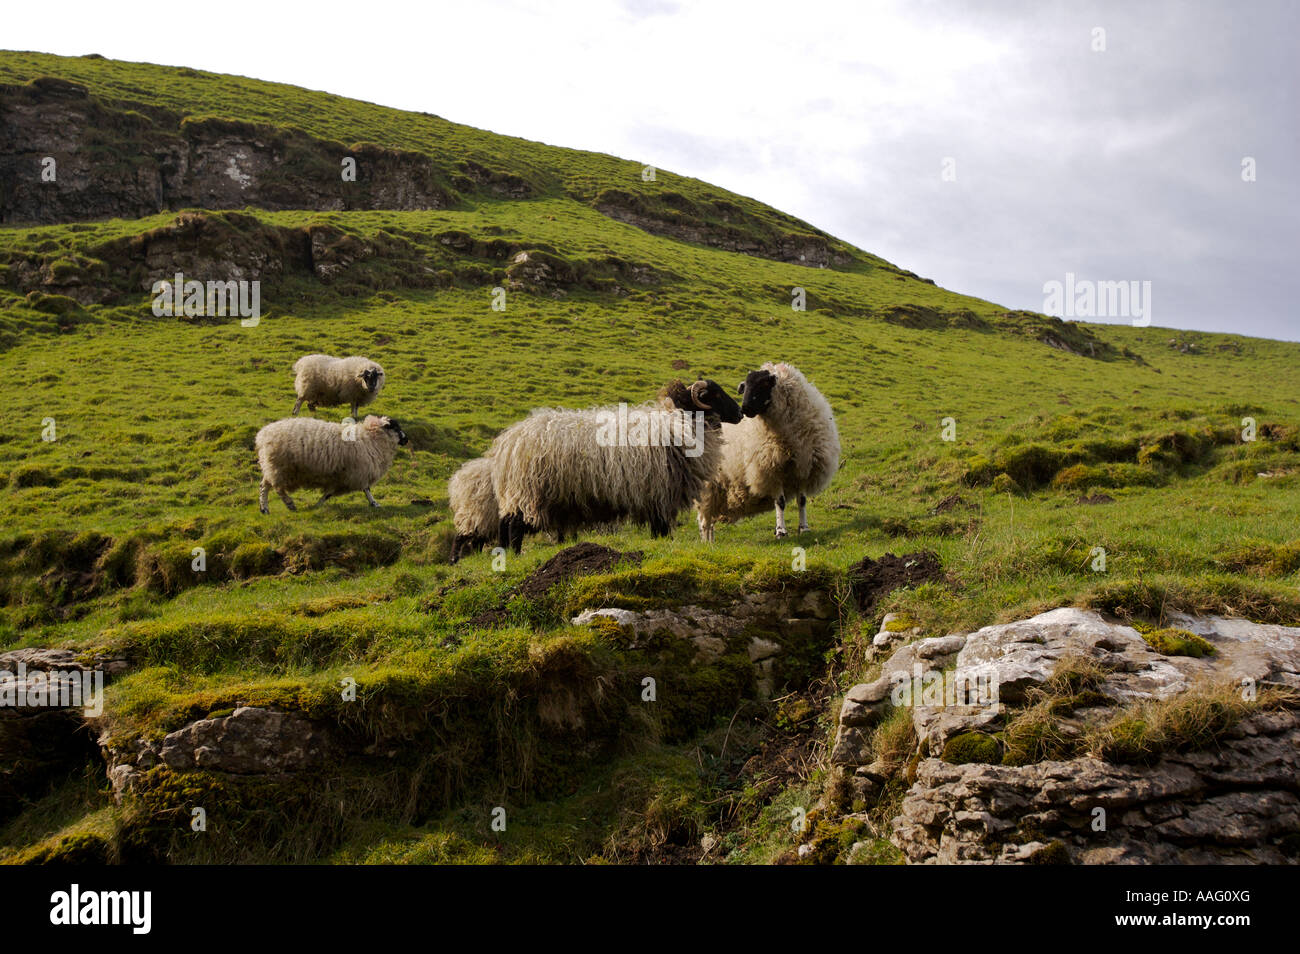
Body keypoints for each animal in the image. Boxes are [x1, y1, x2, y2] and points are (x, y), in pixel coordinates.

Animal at [256, 414, 407, 513]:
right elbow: (366, 489)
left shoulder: (340, 476)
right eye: (396, 427)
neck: (370, 438)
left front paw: (317, 505)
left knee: (264, 485)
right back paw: (289, 504)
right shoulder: (359, 471)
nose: (406, 440)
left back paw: (264, 508)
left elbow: (328, 493)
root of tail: (262, 435)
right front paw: (375, 503)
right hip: (279, 467)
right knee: (276, 488)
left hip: (272, 466)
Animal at [490, 379, 742, 553]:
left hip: (519, 494)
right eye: (715, 393)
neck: (678, 423)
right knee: (514, 526)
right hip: (528, 492)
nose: (740, 413)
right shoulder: (659, 493)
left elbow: (657, 530)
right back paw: (516, 554)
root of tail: (511, 440)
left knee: (505, 522)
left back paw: (507, 553)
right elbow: (661, 529)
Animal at [695, 362, 840, 541]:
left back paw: (711, 542)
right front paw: (781, 531)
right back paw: (706, 543)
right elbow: (780, 502)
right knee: (703, 521)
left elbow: (802, 501)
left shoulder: (803, 469)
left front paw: (804, 528)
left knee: (710, 522)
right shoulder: (771, 469)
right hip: (707, 488)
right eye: (745, 386)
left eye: (764, 384)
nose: (745, 408)